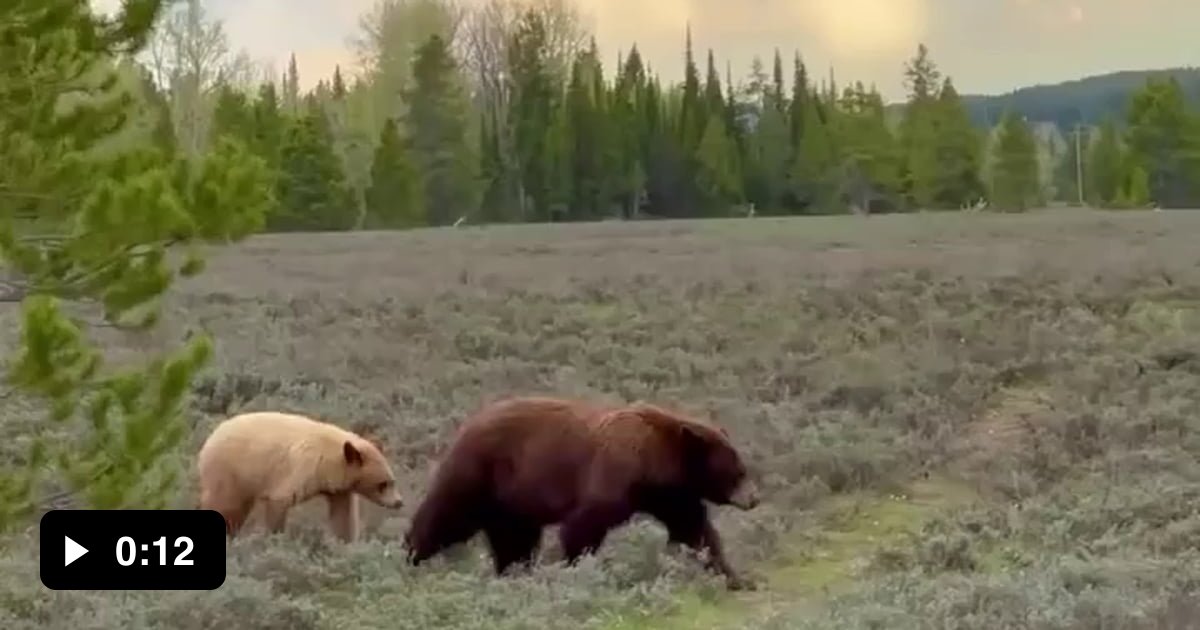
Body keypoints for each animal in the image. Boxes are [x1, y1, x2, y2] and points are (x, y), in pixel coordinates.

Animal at [196, 410, 405, 542]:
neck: (330, 457)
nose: (399, 502)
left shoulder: (339, 489)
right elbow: (280, 501)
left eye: (392, 480)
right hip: (229, 471)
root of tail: (211, 438)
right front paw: (274, 540)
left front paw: (346, 543)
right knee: (225, 506)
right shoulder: (301, 468)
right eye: (383, 484)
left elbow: (343, 516)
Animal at [402, 396, 760, 590]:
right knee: (447, 515)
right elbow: (584, 525)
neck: (656, 461)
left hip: (514, 500)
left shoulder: (672, 496)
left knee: (514, 541)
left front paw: (736, 578)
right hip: (481, 474)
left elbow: (695, 530)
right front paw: (576, 569)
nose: (754, 498)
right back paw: (411, 558)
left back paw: (514, 574)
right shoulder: (614, 474)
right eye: (739, 471)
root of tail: (469, 421)